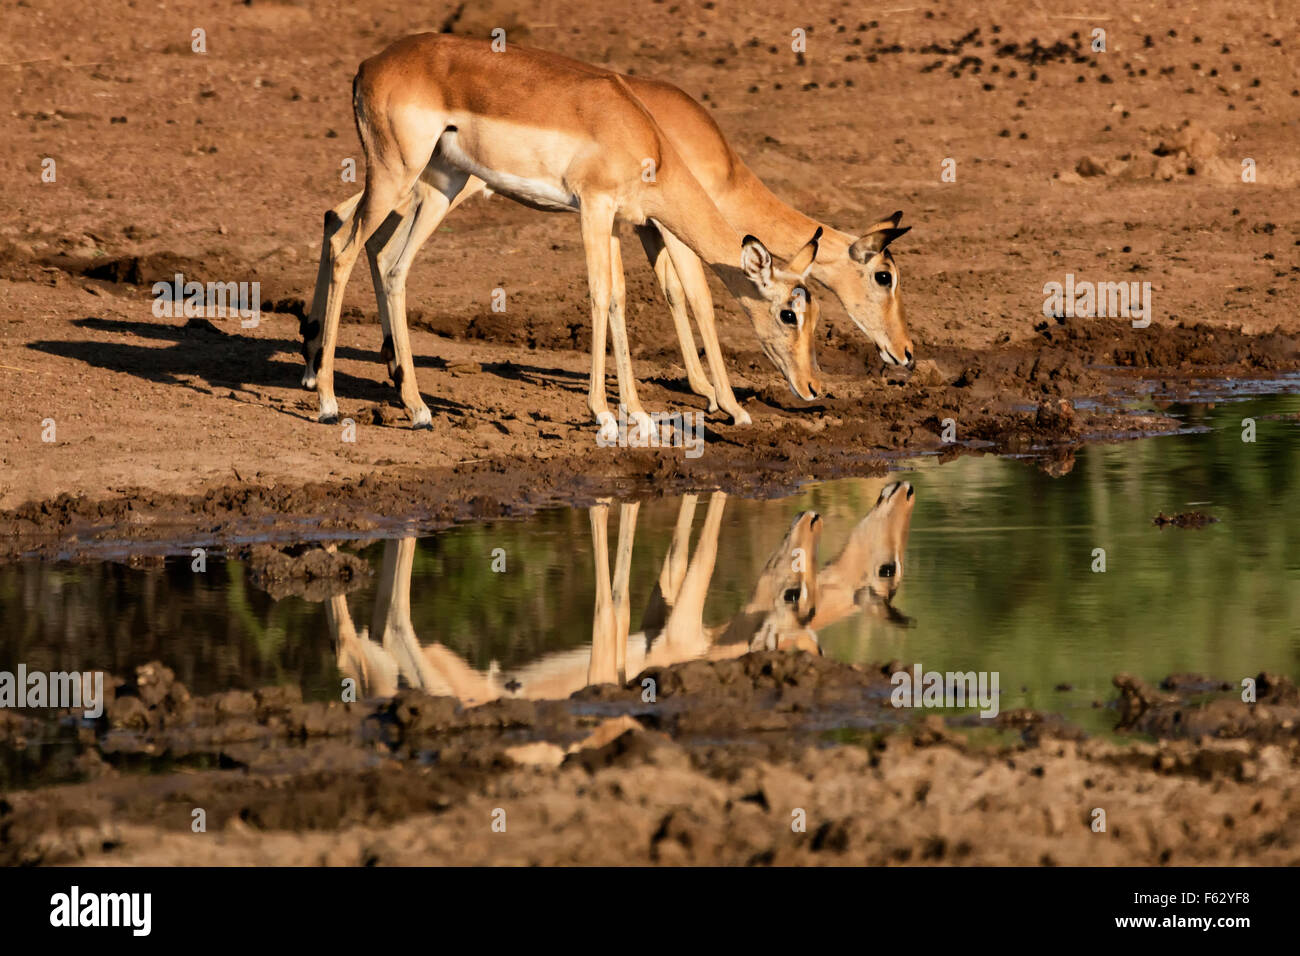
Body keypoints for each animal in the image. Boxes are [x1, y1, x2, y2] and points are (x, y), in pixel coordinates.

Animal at [308, 41, 915, 429]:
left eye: (816, 312)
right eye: (789, 313)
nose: (813, 388)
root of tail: (370, 64)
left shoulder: (624, 222)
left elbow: (624, 298)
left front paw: (641, 413)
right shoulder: (603, 211)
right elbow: (639, 296)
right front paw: (628, 410)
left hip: (438, 185)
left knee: (384, 257)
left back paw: (414, 406)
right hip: (398, 176)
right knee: (345, 243)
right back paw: (329, 400)